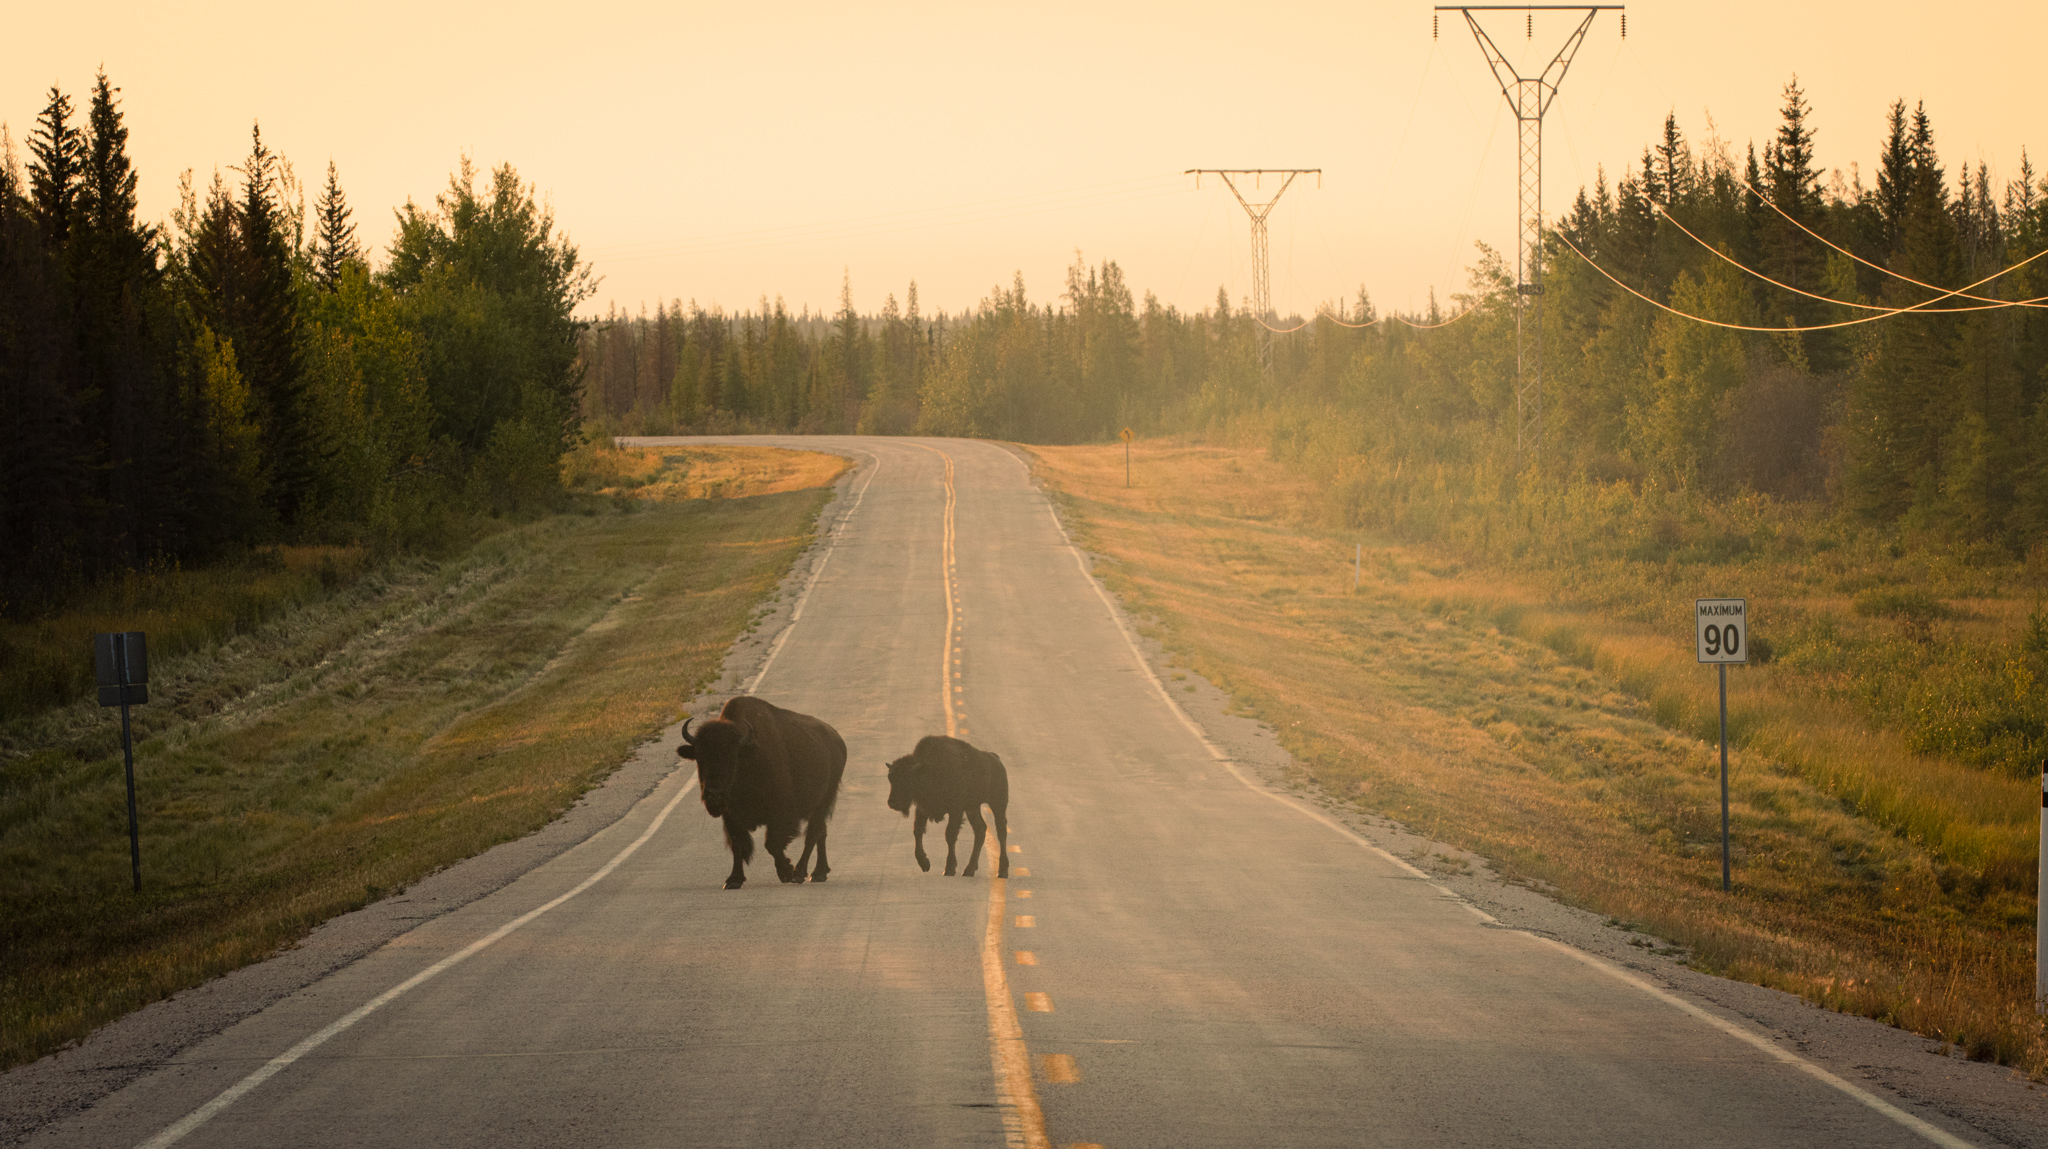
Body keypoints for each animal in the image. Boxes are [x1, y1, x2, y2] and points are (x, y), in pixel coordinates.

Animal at [678, 696, 847, 889]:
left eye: (732, 759)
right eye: (700, 759)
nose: (713, 794)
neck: (748, 757)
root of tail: (838, 741)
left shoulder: (780, 814)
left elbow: (772, 844)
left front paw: (786, 872)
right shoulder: (731, 816)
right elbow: (737, 844)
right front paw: (733, 880)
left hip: (823, 802)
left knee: (812, 834)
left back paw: (800, 873)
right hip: (816, 807)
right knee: (821, 833)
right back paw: (819, 872)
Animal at [884, 735, 1010, 878]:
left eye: (906, 779)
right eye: (890, 778)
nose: (892, 802)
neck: (927, 769)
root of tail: (996, 759)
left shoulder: (956, 810)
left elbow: (950, 835)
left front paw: (949, 868)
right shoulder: (922, 809)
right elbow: (918, 830)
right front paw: (924, 863)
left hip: (998, 805)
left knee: (1001, 832)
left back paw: (1002, 871)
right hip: (973, 808)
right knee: (980, 830)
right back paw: (969, 870)